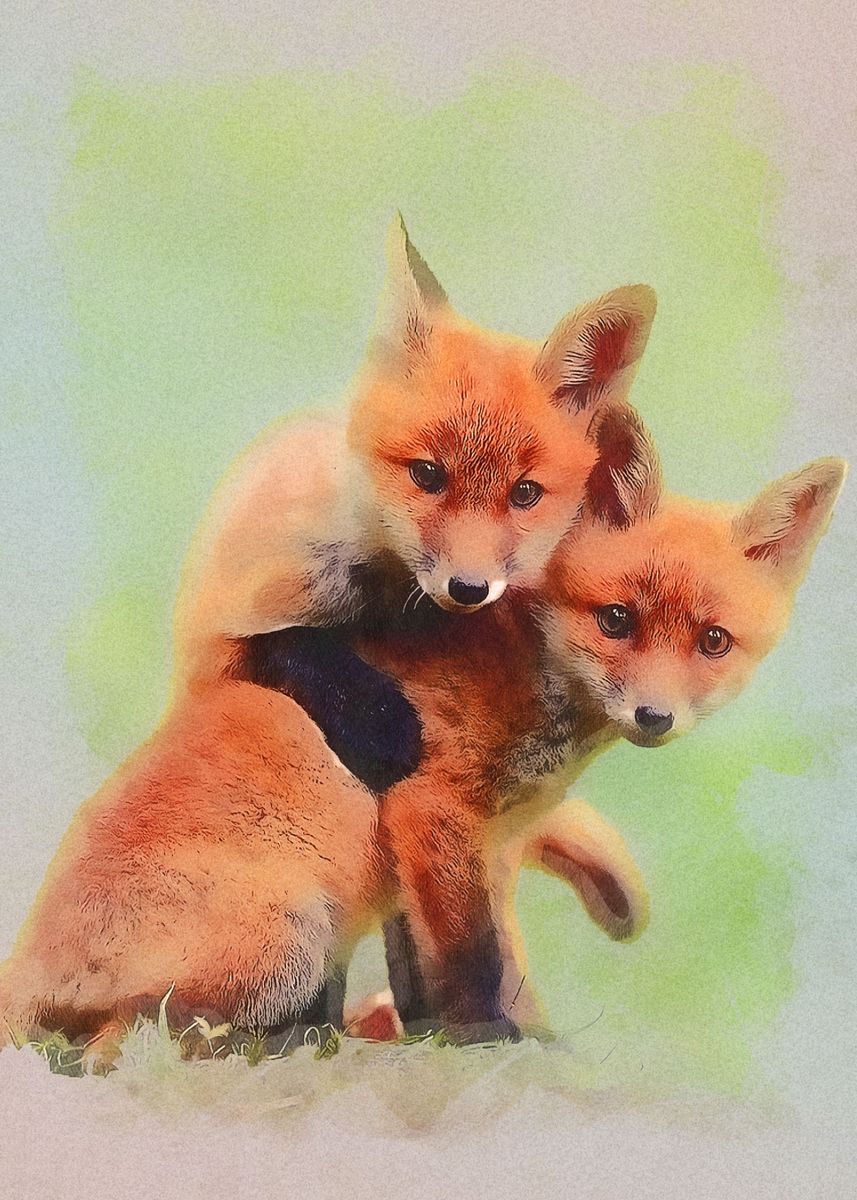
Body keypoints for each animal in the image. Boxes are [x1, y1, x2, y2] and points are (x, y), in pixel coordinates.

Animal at [173, 216, 657, 787]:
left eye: (525, 494)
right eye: (426, 475)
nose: (468, 588)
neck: (382, 598)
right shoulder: (222, 630)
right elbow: (291, 645)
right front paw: (381, 727)